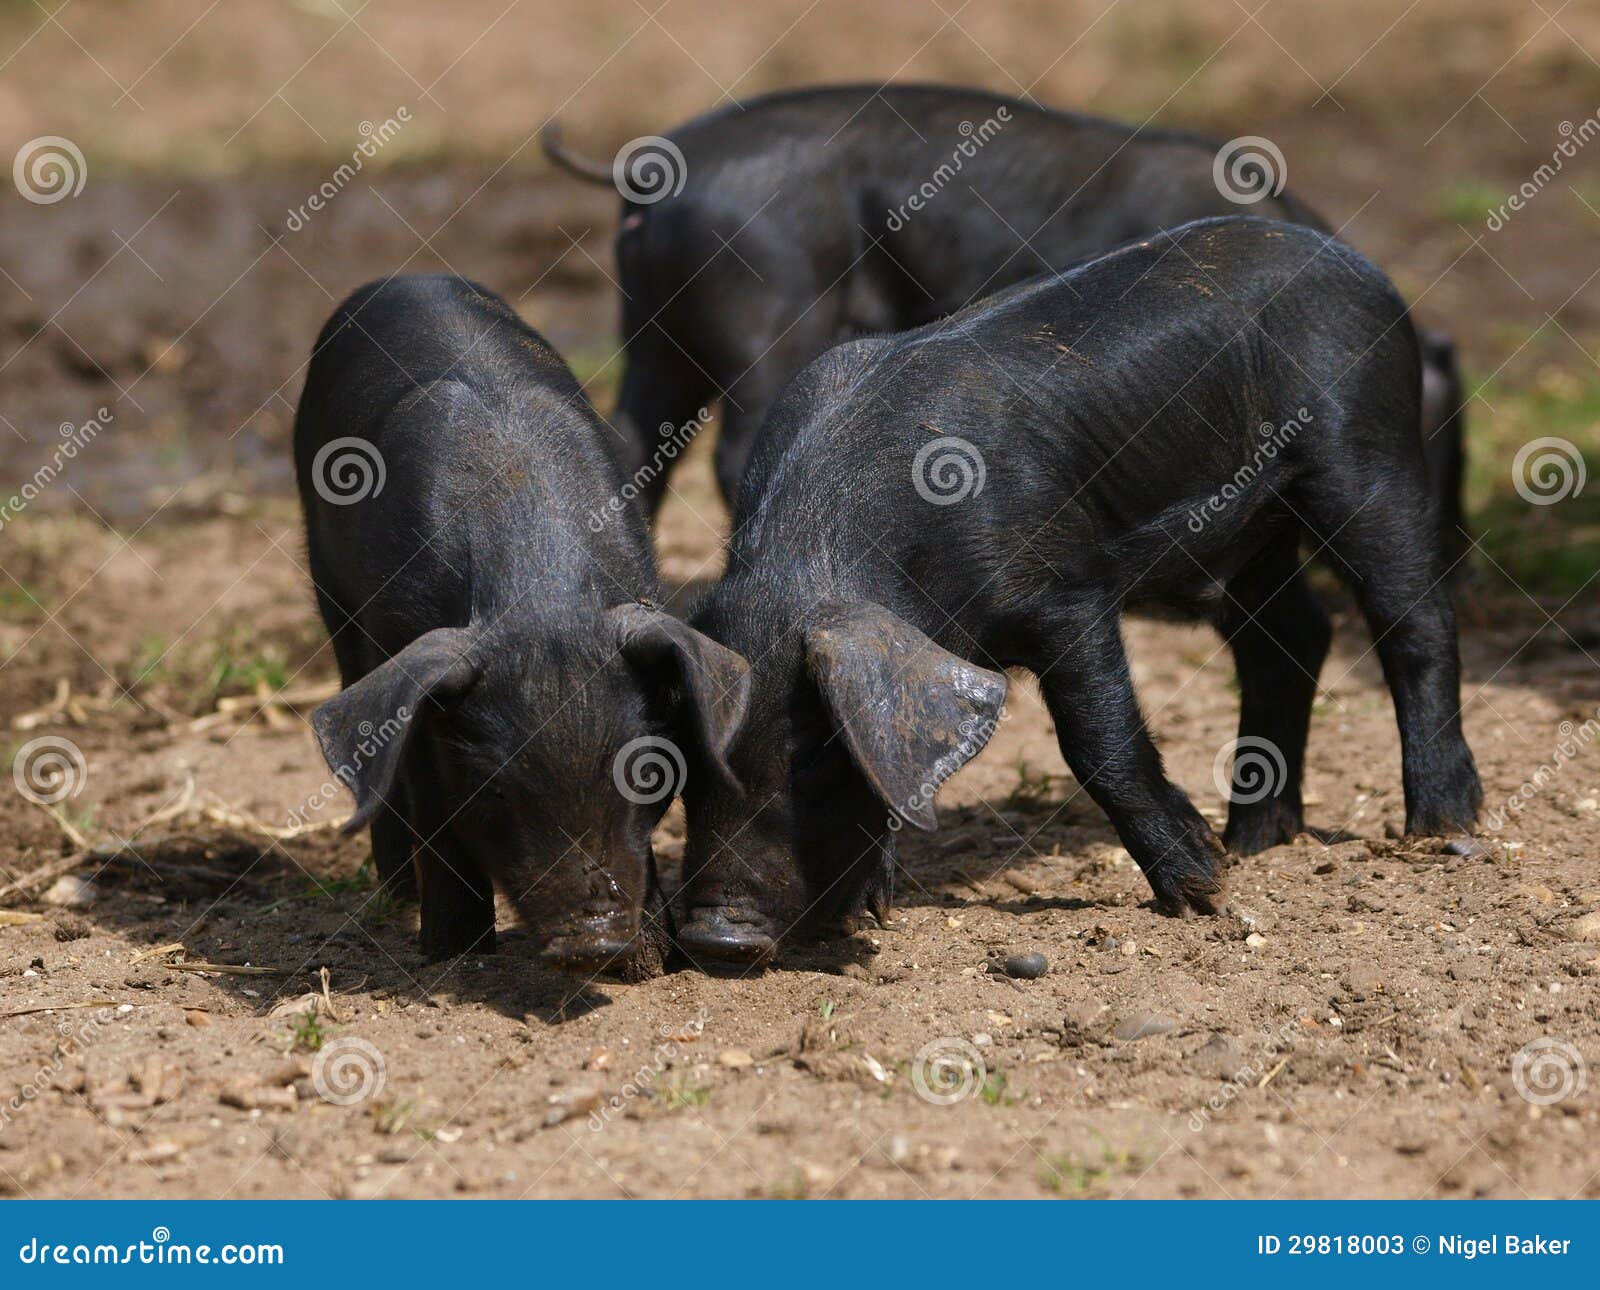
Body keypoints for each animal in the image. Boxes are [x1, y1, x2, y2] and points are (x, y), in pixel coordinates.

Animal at [293, 274, 749, 973]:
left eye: (649, 774)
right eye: (496, 791)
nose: (595, 942)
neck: (540, 593)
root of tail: (403, 277)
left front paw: (651, 964)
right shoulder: (407, 655)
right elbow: (433, 814)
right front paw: (453, 956)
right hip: (330, 589)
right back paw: (395, 898)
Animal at [544, 84, 1466, 561]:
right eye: (1418, 430)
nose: (1453, 553)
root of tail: (652, 165)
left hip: (650, 336)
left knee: (633, 445)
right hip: (766, 318)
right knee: (732, 455)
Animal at [673, 216, 1481, 964]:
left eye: (810, 761)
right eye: (684, 768)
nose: (715, 937)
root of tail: (1357, 262)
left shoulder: (1065, 591)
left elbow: (1096, 740)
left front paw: (1204, 893)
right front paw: (867, 914)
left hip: (1367, 458)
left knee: (1415, 617)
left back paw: (1441, 827)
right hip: (1251, 539)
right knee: (1291, 640)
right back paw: (1257, 841)